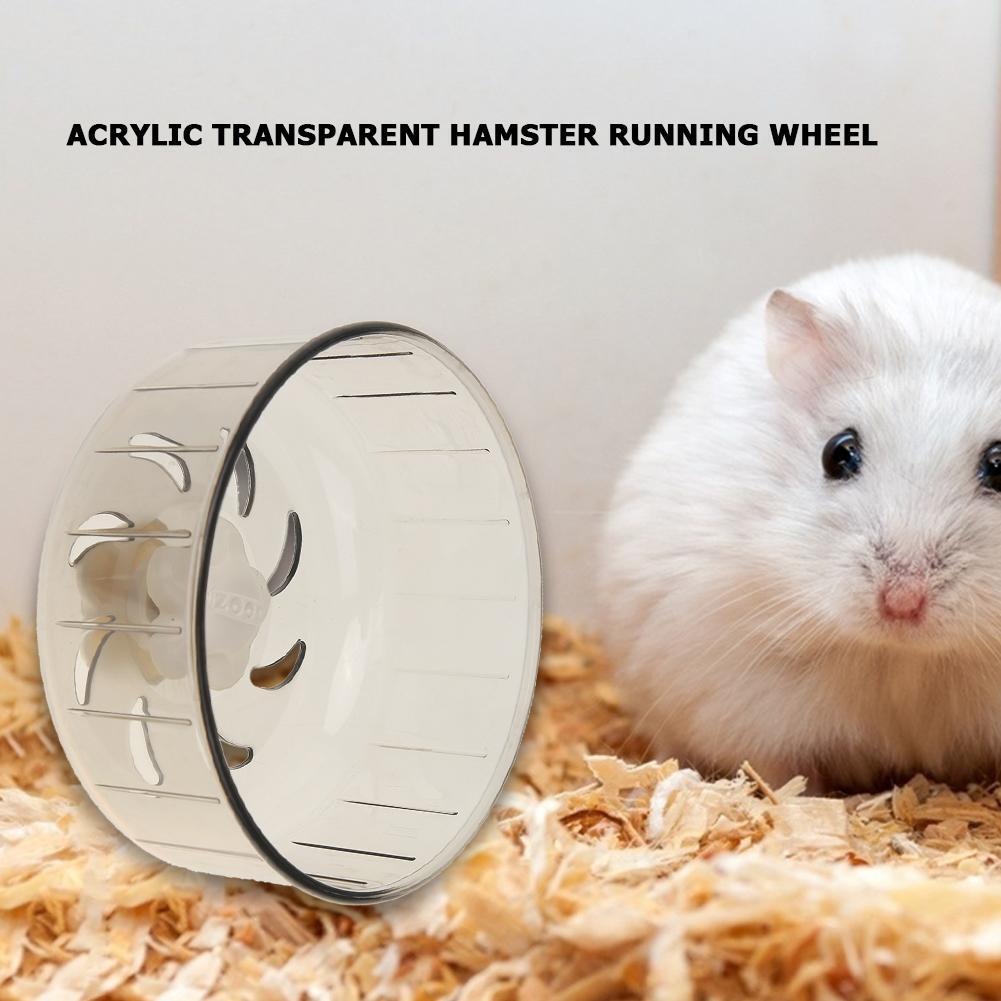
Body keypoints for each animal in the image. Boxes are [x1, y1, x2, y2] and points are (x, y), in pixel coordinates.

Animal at [600, 255, 1001, 792]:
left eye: (1000, 465)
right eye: (838, 453)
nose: (901, 603)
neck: (901, 655)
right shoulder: (749, 701)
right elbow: (786, 777)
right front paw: (804, 800)